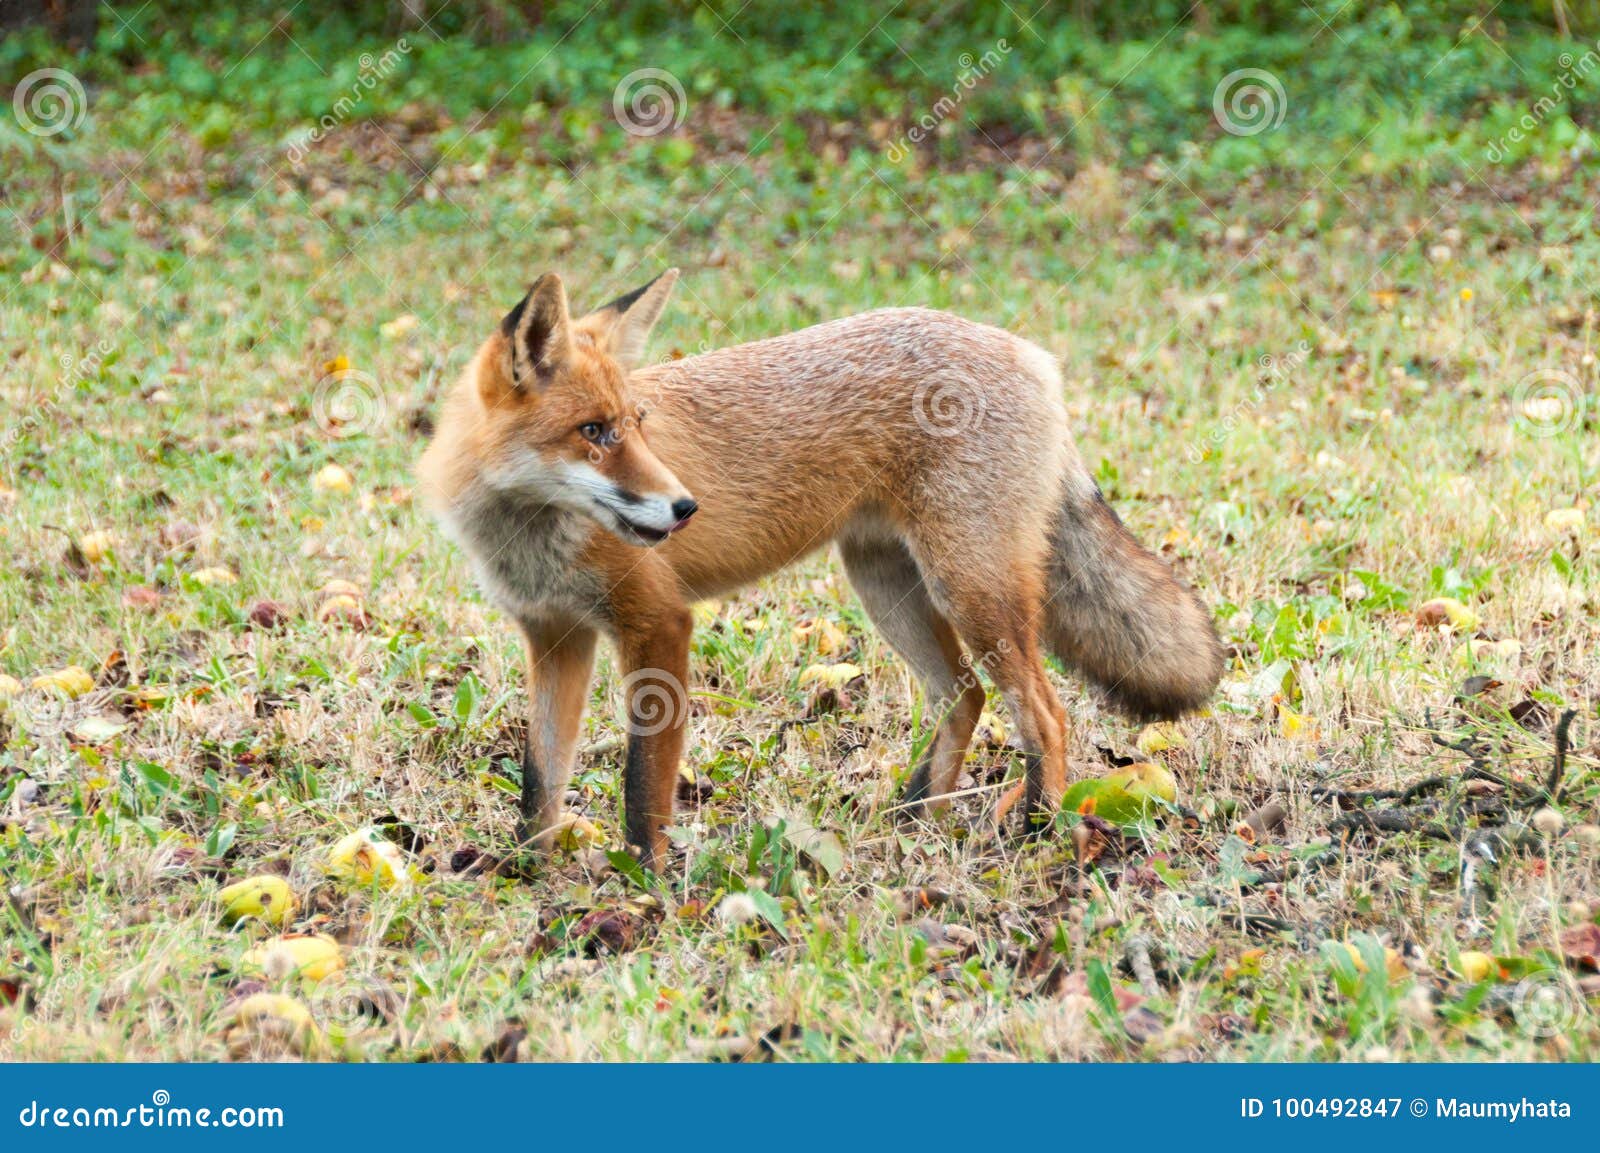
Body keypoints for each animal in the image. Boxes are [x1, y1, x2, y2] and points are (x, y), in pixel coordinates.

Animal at [418, 268, 1224, 869]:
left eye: (637, 426)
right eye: (594, 431)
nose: (685, 507)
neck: (528, 537)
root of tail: (1033, 355)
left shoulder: (658, 624)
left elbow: (642, 785)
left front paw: (643, 886)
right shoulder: (556, 636)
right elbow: (539, 783)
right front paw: (529, 873)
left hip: (971, 587)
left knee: (1045, 713)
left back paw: (1037, 831)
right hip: (887, 586)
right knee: (963, 695)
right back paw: (914, 817)